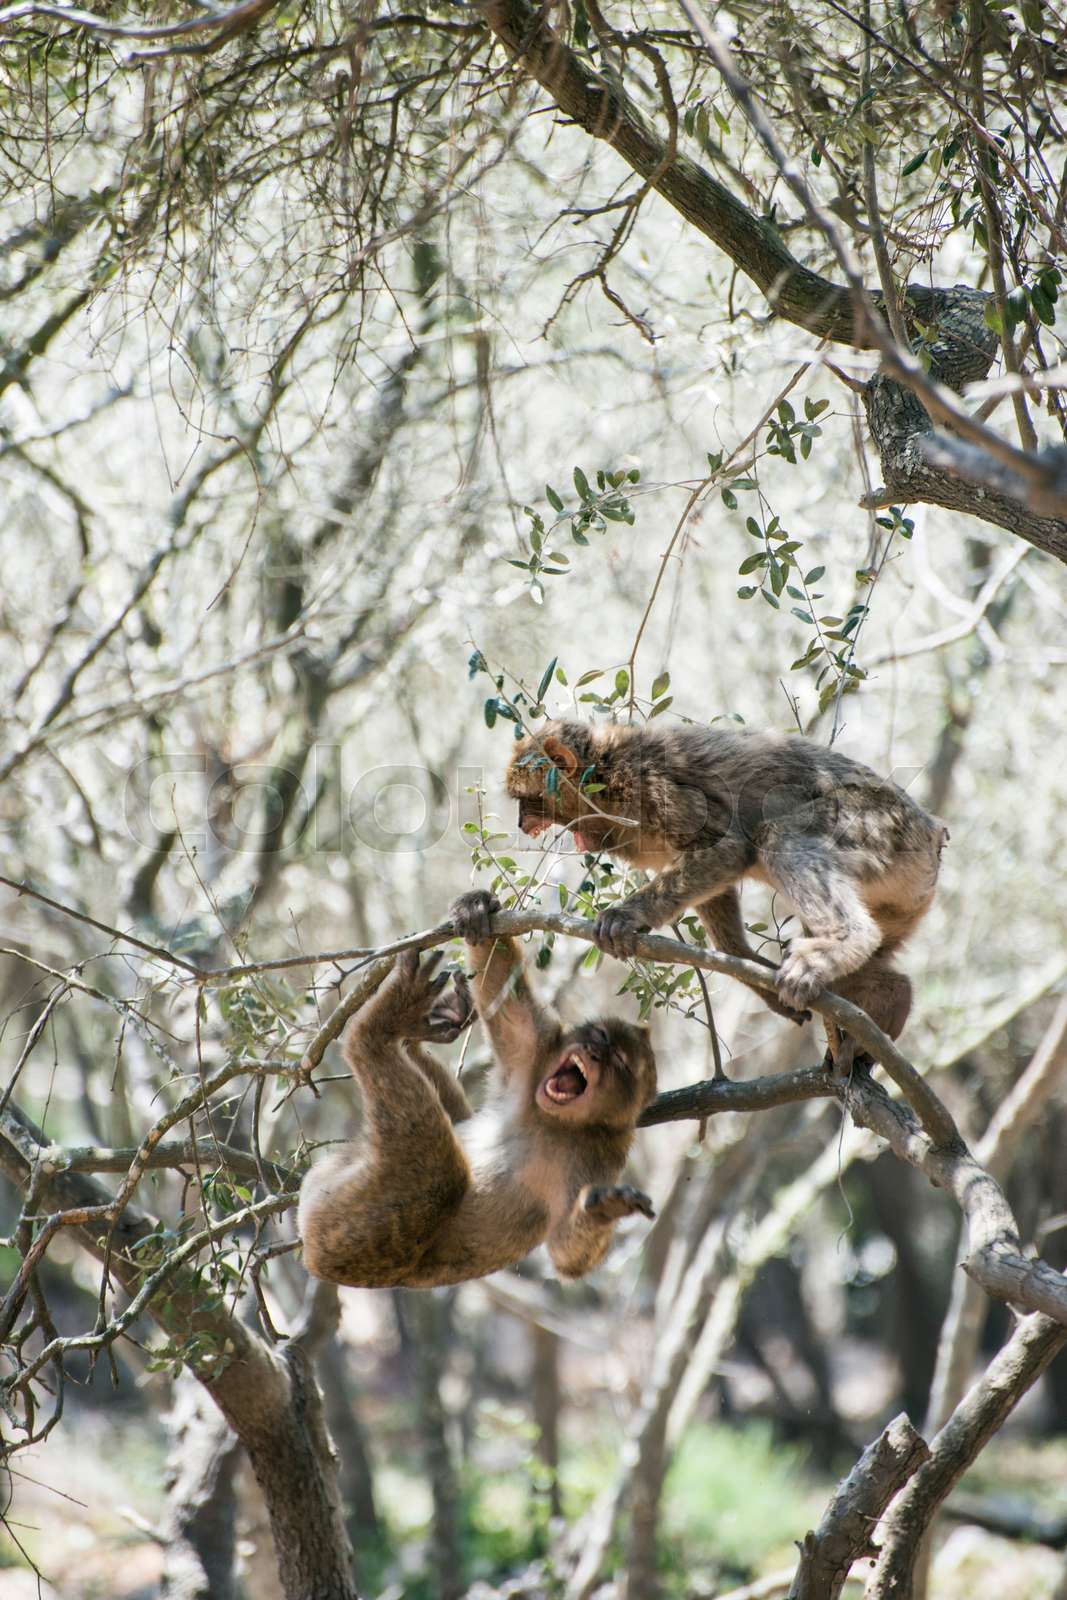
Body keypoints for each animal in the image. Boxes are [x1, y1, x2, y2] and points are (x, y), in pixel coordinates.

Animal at [298, 894, 657, 1289]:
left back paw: (377, 1031)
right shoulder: (535, 1060)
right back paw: (418, 1028)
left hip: (356, 1238)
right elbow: (507, 1003)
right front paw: (476, 910)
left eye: (620, 1062)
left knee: (443, 1178)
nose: (593, 1052)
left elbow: (567, 1255)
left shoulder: (599, 1156)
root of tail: (314, 1260)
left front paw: (605, 1210)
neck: (556, 1121)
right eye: (601, 1036)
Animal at [504, 719, 948, 1060]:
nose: (522, 823)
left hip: (882, 828)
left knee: (780, 835)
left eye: (529, 800)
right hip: (903, 895)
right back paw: (891, 998)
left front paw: (628, 915)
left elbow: (727, 848)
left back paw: (843, 942)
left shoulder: (651, 788)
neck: (606, 770)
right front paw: (747, 966)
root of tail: (932, 833)